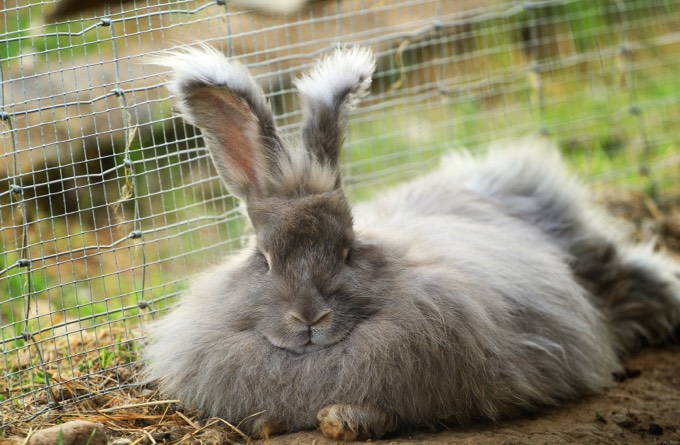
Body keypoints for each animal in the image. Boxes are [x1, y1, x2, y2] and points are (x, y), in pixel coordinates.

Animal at [144, 45, 680, 440]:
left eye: (348, 251)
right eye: (265, 259)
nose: (309, 318)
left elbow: (387, 412)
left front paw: (341, 421)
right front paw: (273, 423)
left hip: (603, 265)